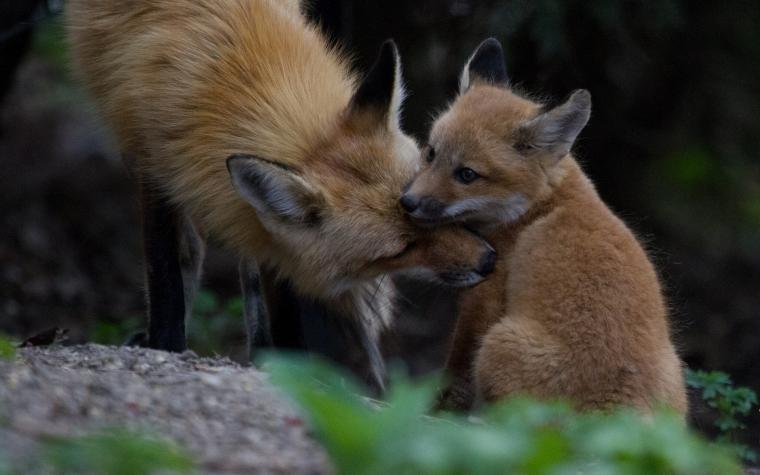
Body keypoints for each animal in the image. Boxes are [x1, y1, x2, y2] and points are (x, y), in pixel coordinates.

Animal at [64, 0, 496, 385]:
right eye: (402, 249)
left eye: (428, 203)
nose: (489, 261)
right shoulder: (151, 158)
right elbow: (166, 273)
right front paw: (166, 345)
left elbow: (275, 284)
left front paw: (290, 364)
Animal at [400, 38, 688, 414]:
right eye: (431, 153)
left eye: (467, 175)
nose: (407, 202)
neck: (538, 206)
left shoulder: (484, 296)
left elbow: (455, 375)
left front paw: (434, 411)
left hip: (498, 344)